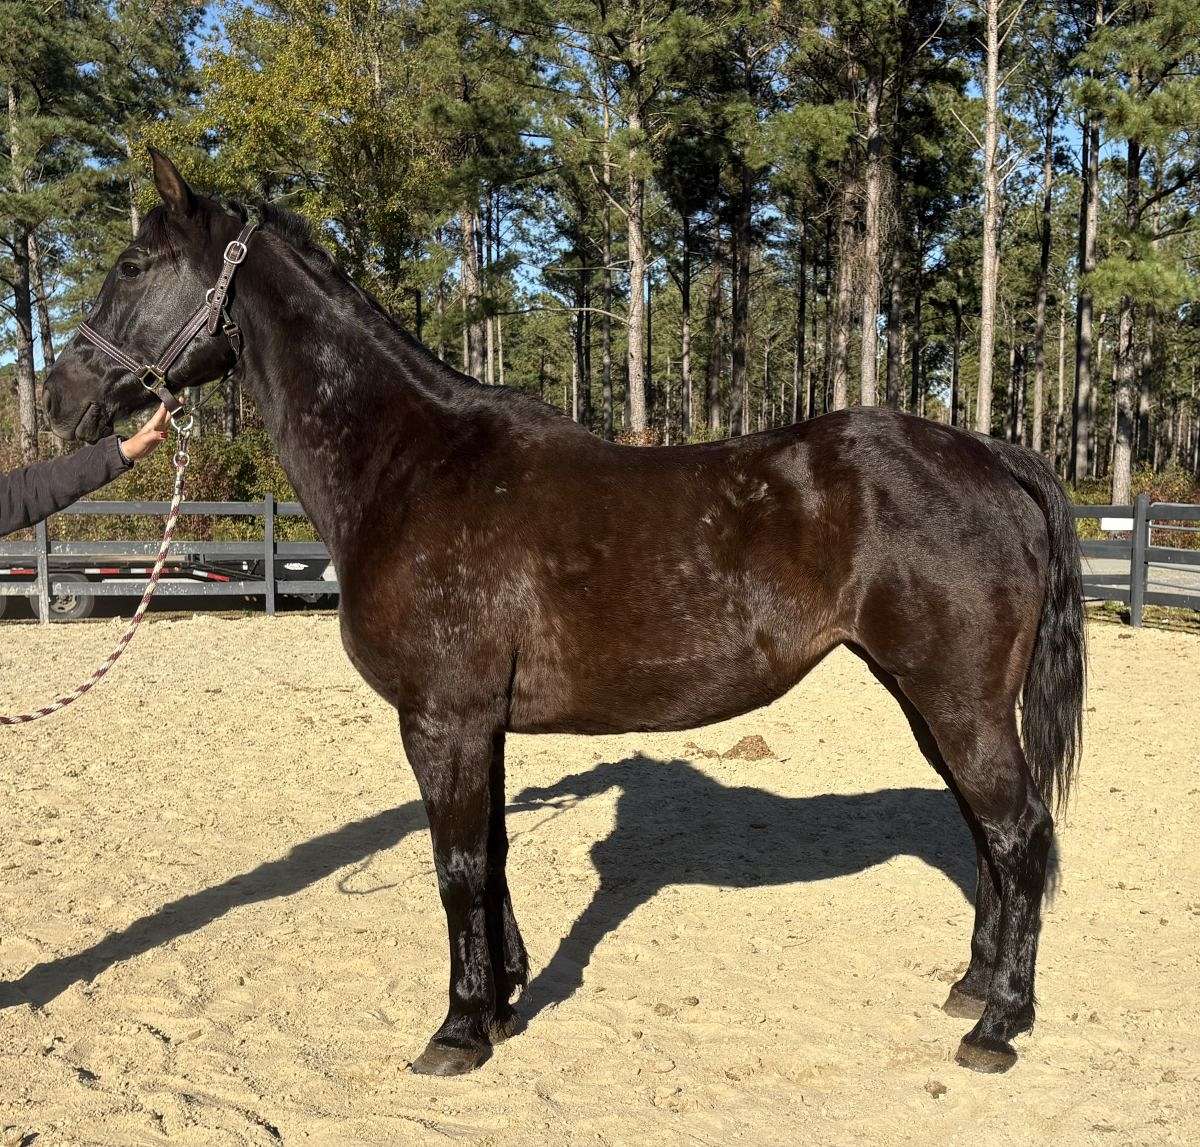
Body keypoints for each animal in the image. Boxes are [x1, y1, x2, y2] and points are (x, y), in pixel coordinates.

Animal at [43, 151, 1085, 1077]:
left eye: (132, 265)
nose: (60, 395)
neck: (411, 466)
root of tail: (993, 456)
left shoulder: (443, 719)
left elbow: (459, 865)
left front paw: (460, 1029)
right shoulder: (478, 723)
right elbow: (492, 853)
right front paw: (505, 998)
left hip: (957, 701)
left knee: (1019, 832)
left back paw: (997, 1024)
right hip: (926, 700)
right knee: (987, 836)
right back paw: (972, 987)